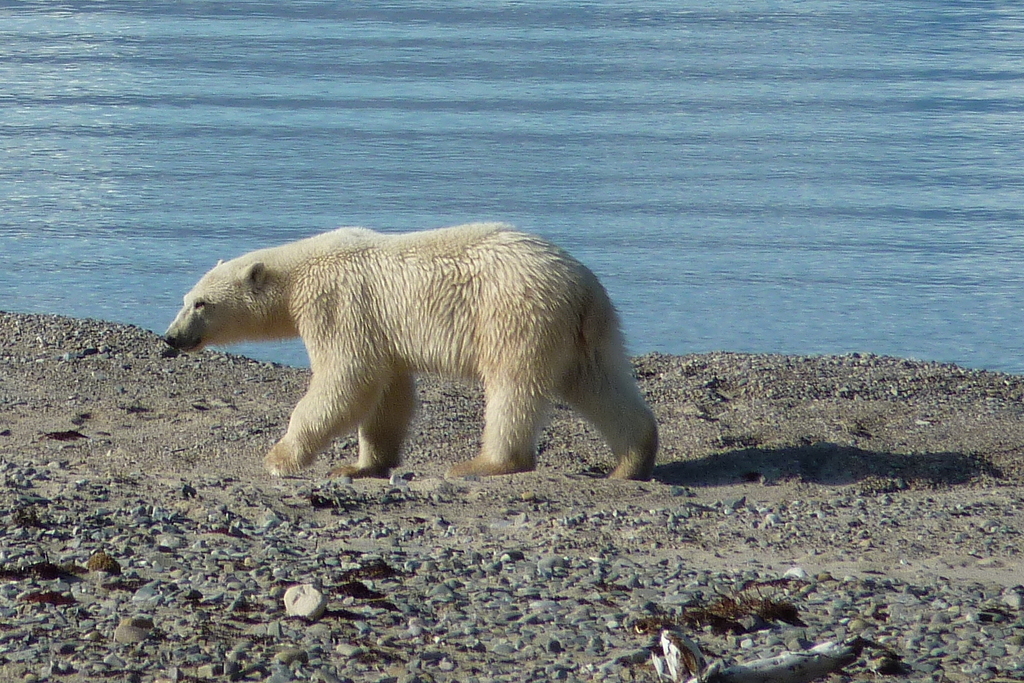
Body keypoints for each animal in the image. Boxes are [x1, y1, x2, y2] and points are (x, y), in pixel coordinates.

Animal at [164, 223, 658, 480]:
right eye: (186, 298)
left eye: (200, 303)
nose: (171, 337)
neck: (299, 270)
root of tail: (583, 287)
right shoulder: (380, 328)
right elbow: (387, 393)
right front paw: (362, 464)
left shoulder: (337, 305)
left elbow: (345, 378)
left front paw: (280, 458)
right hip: (585, 334)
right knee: (601, 384)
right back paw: (632, 459)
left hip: (516, 317)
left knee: (512, 389)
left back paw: (482, 463)